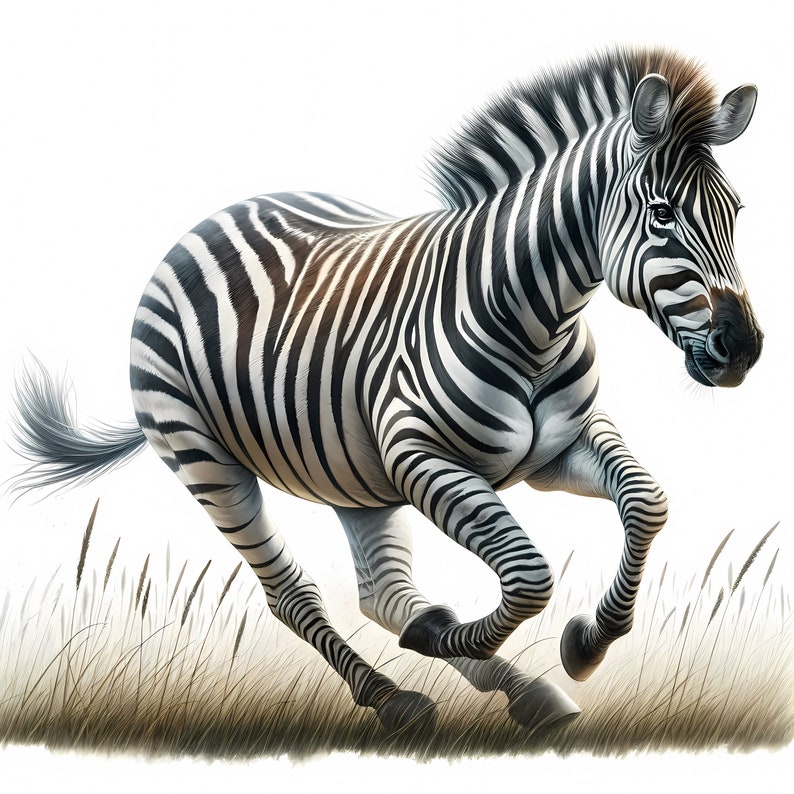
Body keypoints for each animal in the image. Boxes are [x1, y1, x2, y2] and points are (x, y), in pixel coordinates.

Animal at [12, 47, 762, 732]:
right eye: (663, 215)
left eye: (736, 210)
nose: (745, 349)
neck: (534, 320)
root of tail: (206, 222)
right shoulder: (420, 458)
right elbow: (528, 575)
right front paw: (457, 638)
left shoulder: (557, 450)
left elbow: (646, 502)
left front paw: (589, 640)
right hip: (205, 458)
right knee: (292, 595)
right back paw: (394, 695)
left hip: (352, 475)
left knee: (382, 593)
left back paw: (509, 684)